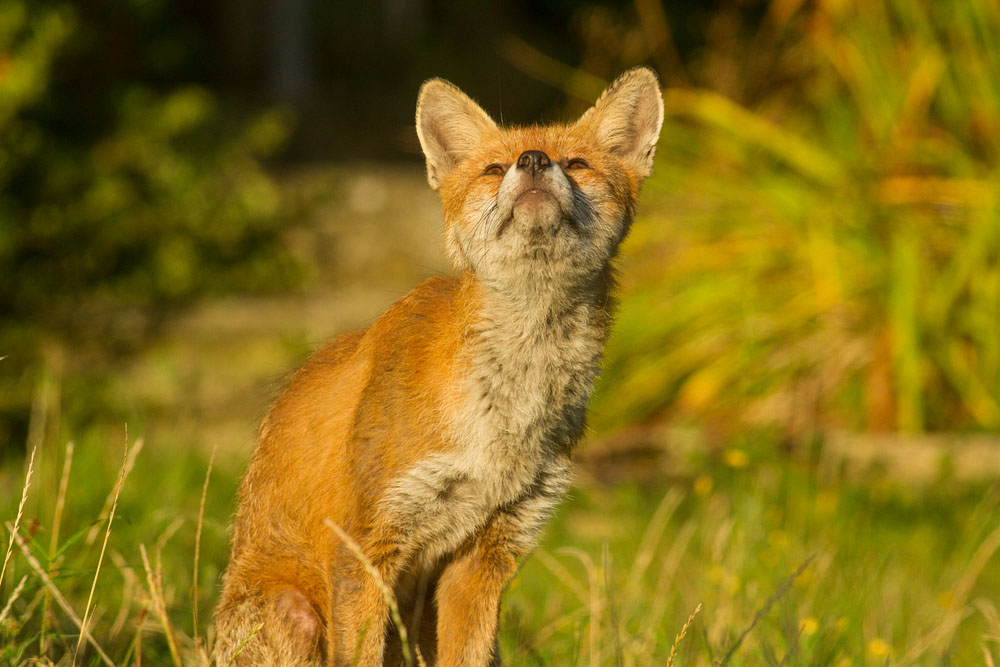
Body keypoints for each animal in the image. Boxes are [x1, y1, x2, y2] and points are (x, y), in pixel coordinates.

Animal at [214, 67, 664, 666]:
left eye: (577, 164)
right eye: (494, 168)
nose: (533, 161)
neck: (505, 418)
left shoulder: (488, 555)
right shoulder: (366, 546)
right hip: (295, 615)